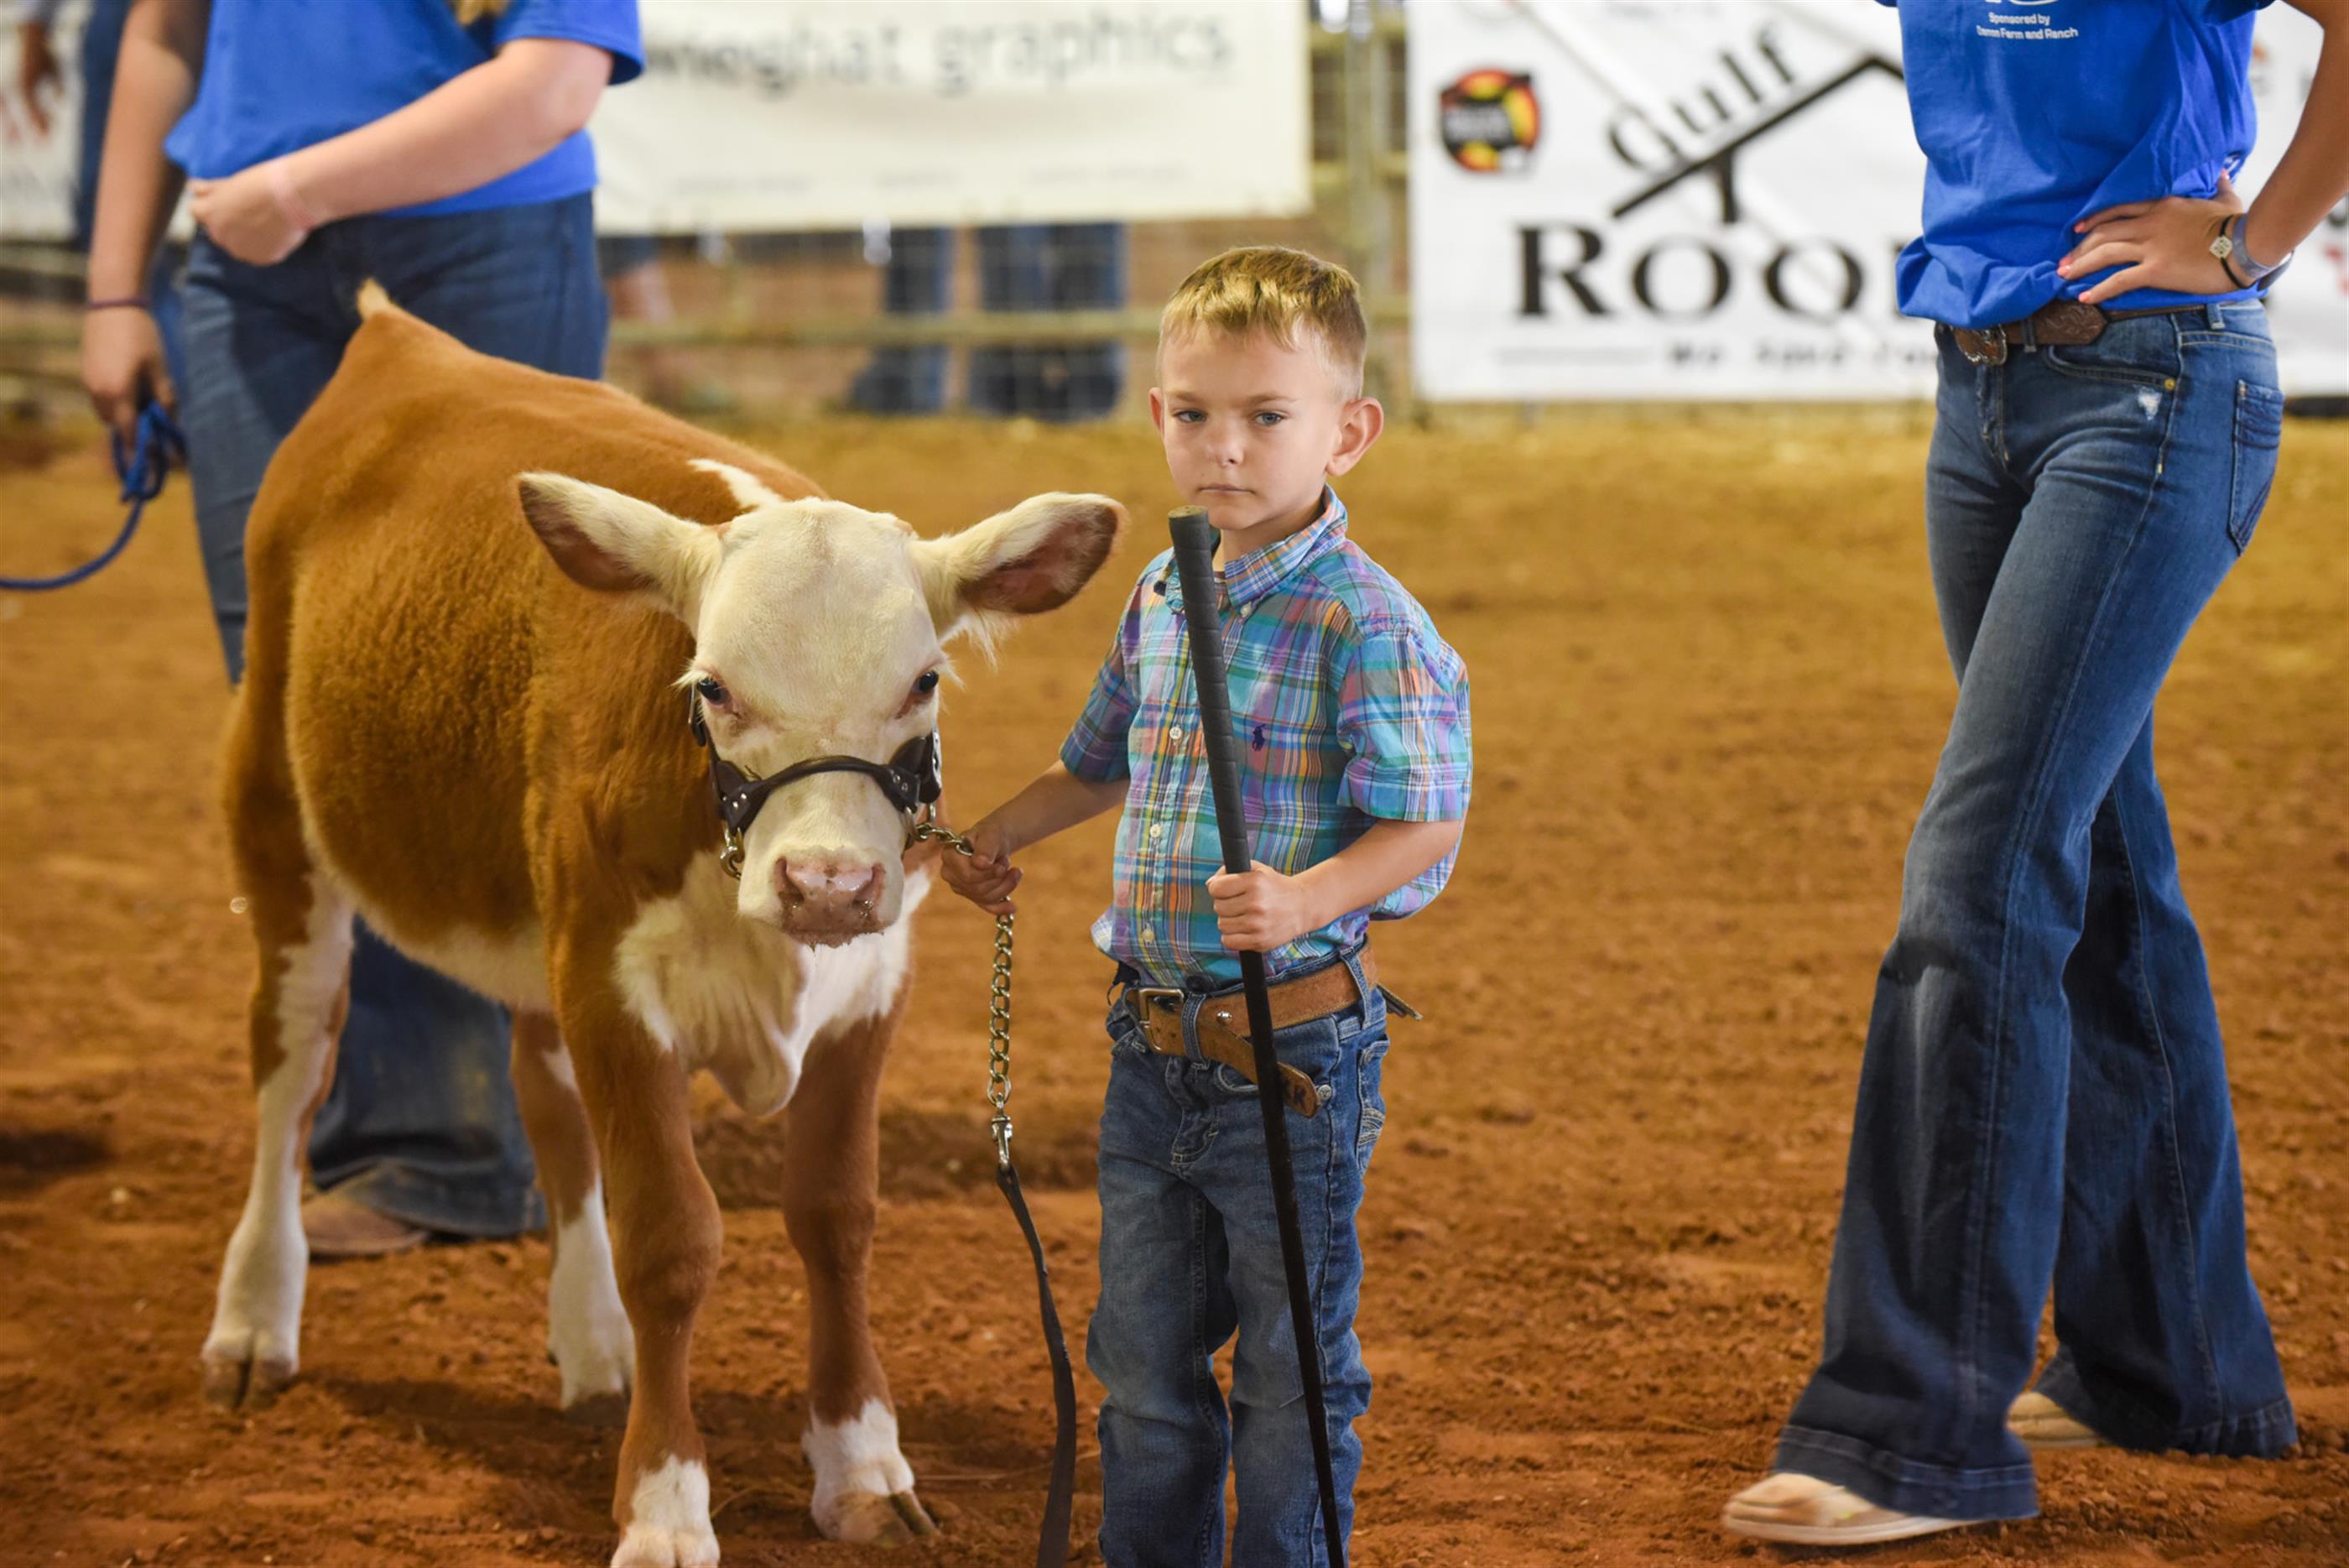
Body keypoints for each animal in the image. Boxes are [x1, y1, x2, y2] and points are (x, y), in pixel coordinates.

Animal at [200, 283, 1124, 1566]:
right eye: (713, 685)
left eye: (925, 681)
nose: (826, 883)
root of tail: (398, 340)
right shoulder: (611, 985)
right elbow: (671, 1240)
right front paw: (665, 1505)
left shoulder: (866, 994)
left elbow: (836, 1217)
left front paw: (862, 1466)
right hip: (278, 822)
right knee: (288, 1073)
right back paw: (252, 1322)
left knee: (547, 1110)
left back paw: (596, 1353)